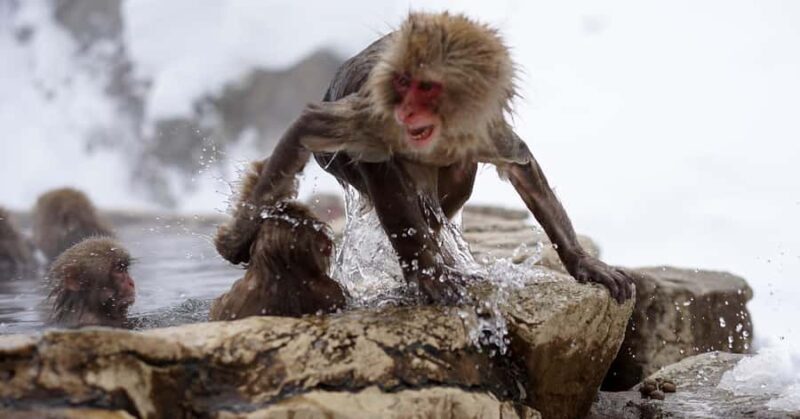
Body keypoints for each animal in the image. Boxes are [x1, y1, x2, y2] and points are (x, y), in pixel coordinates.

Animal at [216, 12, 634, 304]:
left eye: (427, 87)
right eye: (402, 83)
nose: (407, 112)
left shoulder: (483, 128)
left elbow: (522, 166)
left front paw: (584, 262)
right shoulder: (373, 113)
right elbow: (312, 128)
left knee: (454, 178)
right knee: (386, 173)